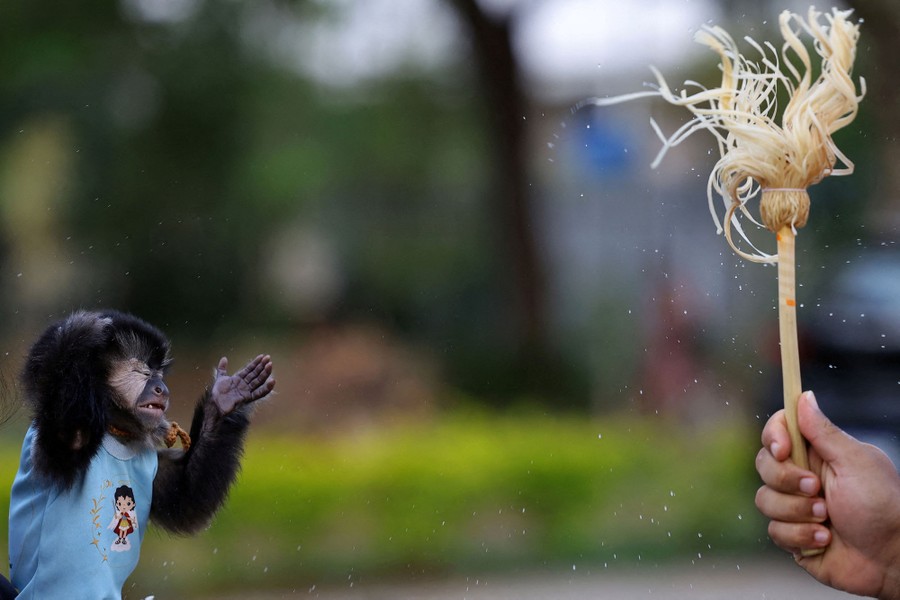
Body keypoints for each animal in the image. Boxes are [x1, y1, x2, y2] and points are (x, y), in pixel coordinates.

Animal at [2, 310, 275, 599]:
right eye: (143, 373)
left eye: (159, 375)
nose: (162, 389)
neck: (113, 433)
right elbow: (72, 433)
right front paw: (76, 338)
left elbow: (186, 500)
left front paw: (224, 401)